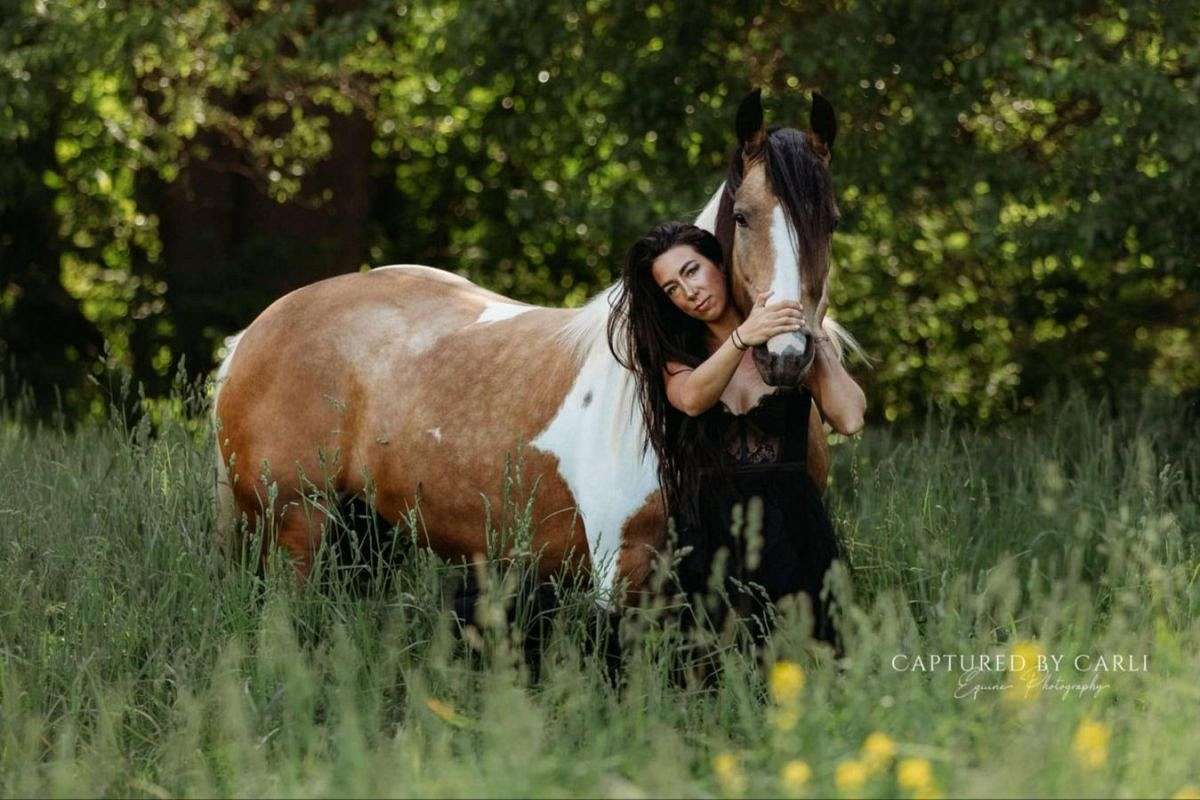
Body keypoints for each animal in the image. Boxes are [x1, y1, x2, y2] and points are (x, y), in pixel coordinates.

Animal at [213, 89, 861, 614]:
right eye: (745, 217)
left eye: (830, 220)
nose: (785, 355)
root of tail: (251, 335)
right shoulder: (621, 569)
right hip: (298, 526)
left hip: (365, 532)